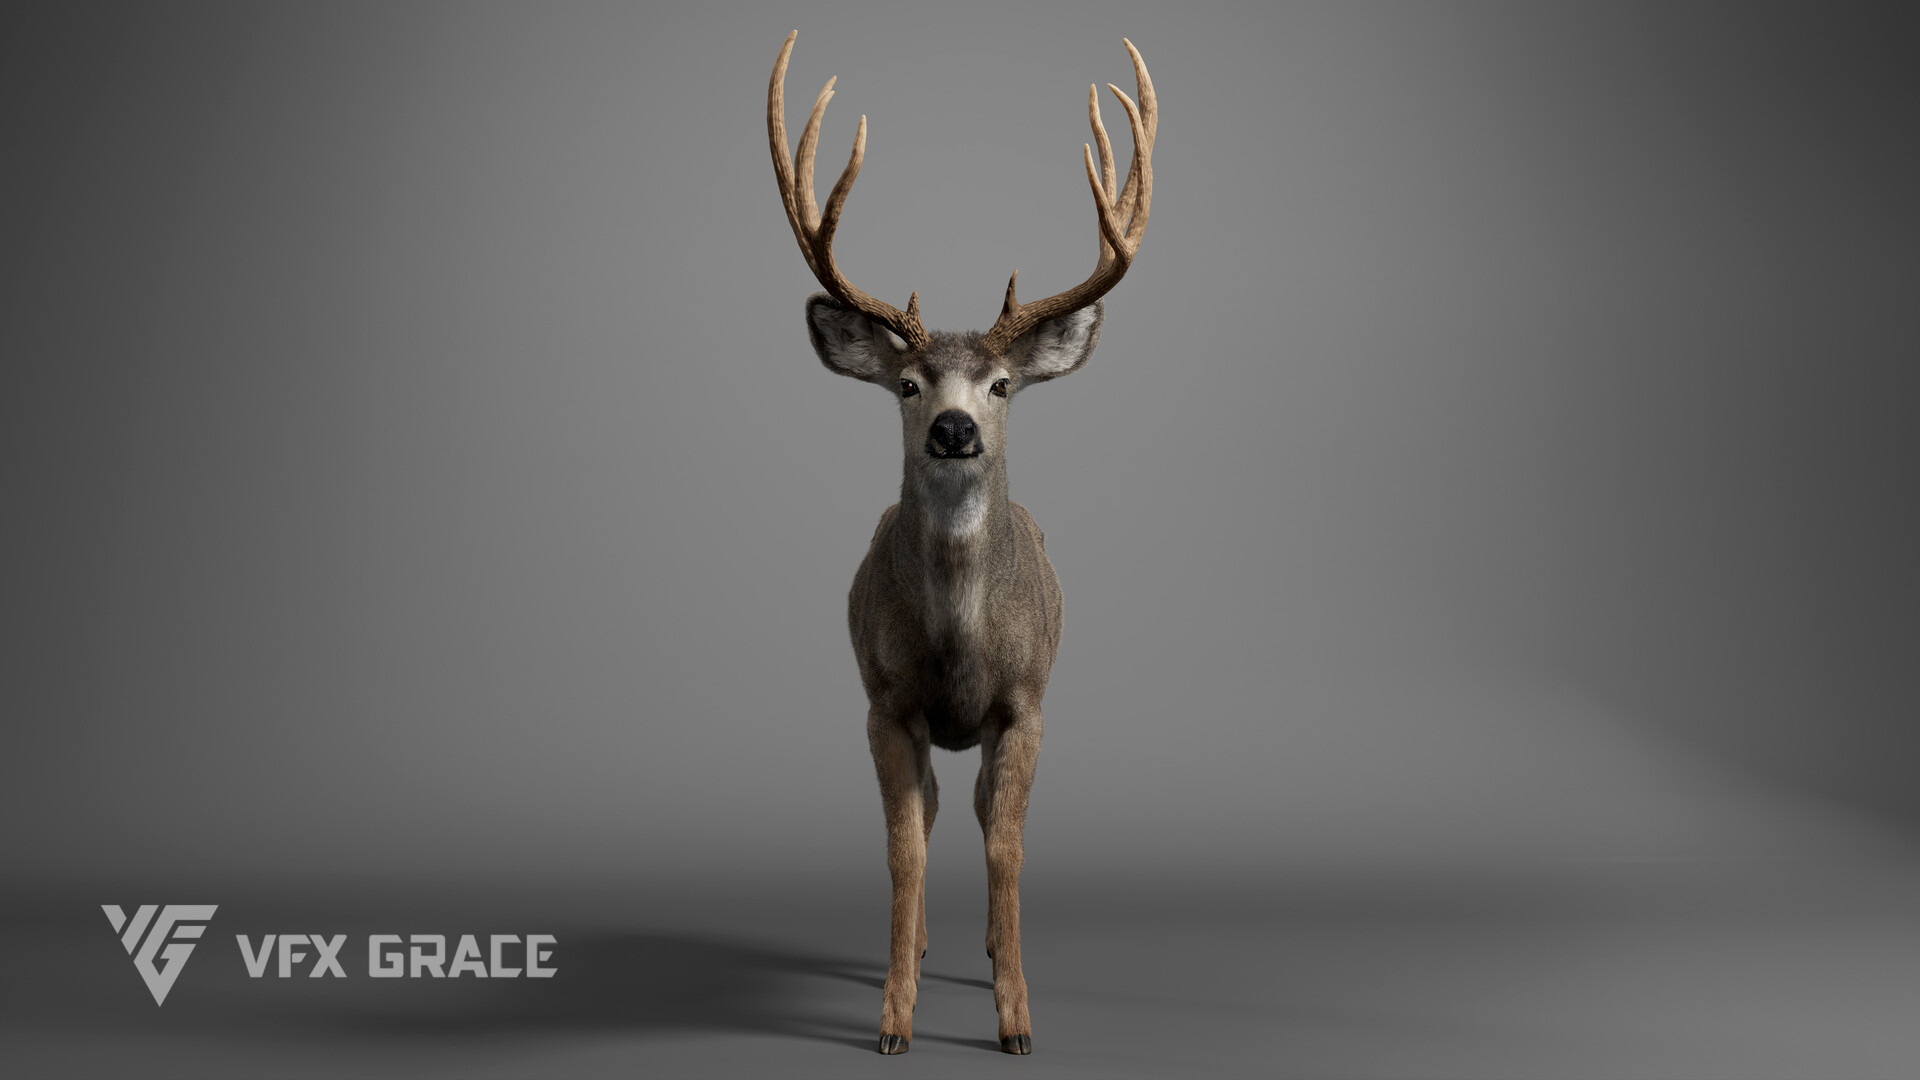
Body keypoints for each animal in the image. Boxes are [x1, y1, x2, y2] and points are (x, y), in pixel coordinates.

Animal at [766, 30, 1155, 1056]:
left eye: (1003, 385)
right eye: (907, 385)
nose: (953, 428)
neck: (959, 649)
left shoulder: (1028, 702)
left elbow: (1007, 843)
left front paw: (1016, 1018)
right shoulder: (882, 700)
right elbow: (905, 846)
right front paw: (894, 1017)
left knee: (976, 809)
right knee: (941, 810)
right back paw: (927, 948)